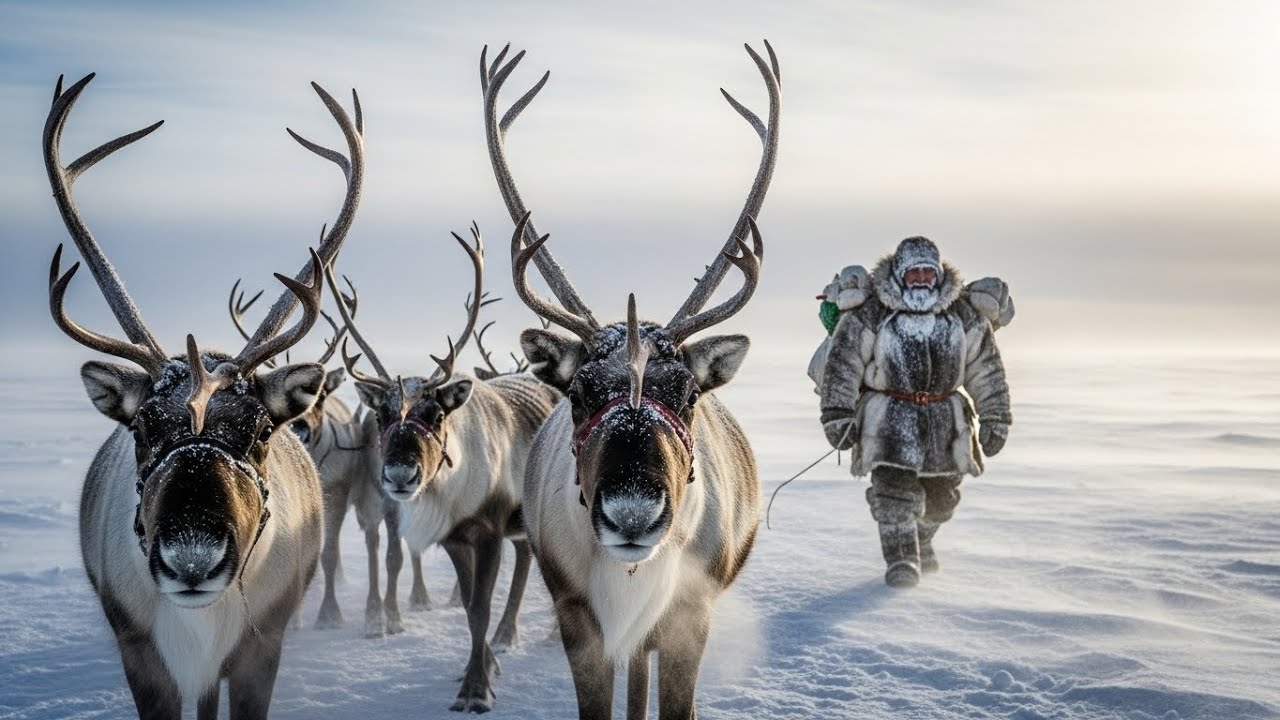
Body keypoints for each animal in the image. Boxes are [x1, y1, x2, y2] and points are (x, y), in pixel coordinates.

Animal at [229, 277, 435, 635]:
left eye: (322, 395)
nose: (300, 428)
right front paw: (299, 618)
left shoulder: (338, 495)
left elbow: (334, 553)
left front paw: (332, 615)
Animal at [327, 226, 560, 713]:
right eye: (381, 414)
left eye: (436, 415)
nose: (400, 475)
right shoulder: (455, 538)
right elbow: (470, 607)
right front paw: (481, 669)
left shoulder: (489, 531)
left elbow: (480, 608)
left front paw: (476, 690)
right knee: (525, 556)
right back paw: (504, 639)